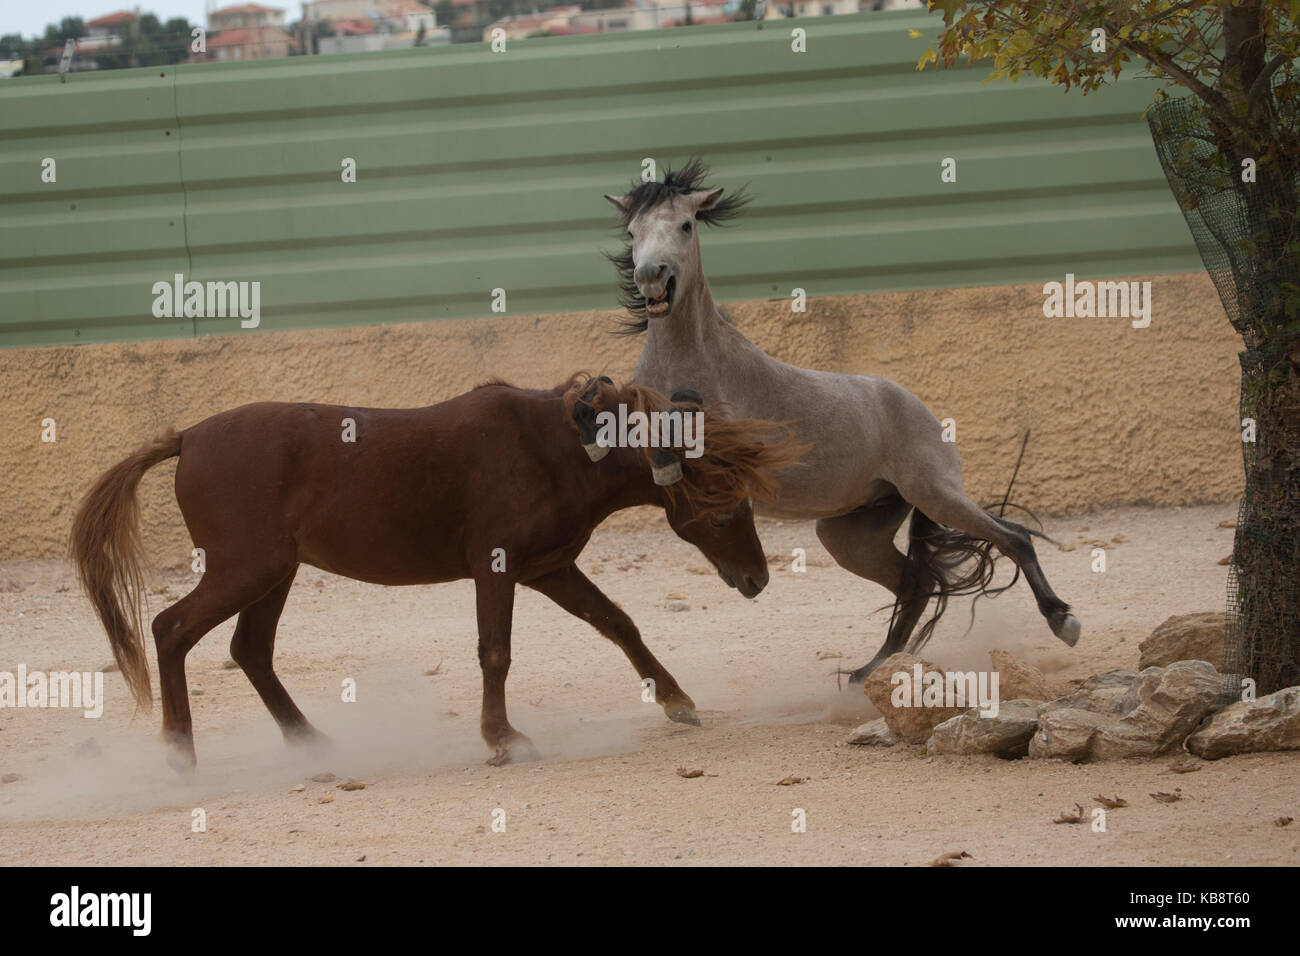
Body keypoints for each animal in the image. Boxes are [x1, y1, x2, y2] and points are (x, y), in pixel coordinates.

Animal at [69, 375, 801, 769]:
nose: (756, 579)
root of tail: (189, 437)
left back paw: (311, 742)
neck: (560, 448)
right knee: (171, 630)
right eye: (722, 504)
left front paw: (676, 700)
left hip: (274, 574)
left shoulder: (549, 569)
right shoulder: (496, 568)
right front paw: (503, 738)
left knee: (249, 650)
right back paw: (179, 754)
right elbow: (495, 651)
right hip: (245, 570)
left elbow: (618, 624)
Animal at [603, 160, 1081, 683]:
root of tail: (923, 413)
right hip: (850, 534)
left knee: (1011, 538)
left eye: (686, 226)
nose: (651, 275)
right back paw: (868, 672)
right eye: (632, 232)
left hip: (934, 493)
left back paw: (1063, 620)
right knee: (916, 581)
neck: (689, 361)